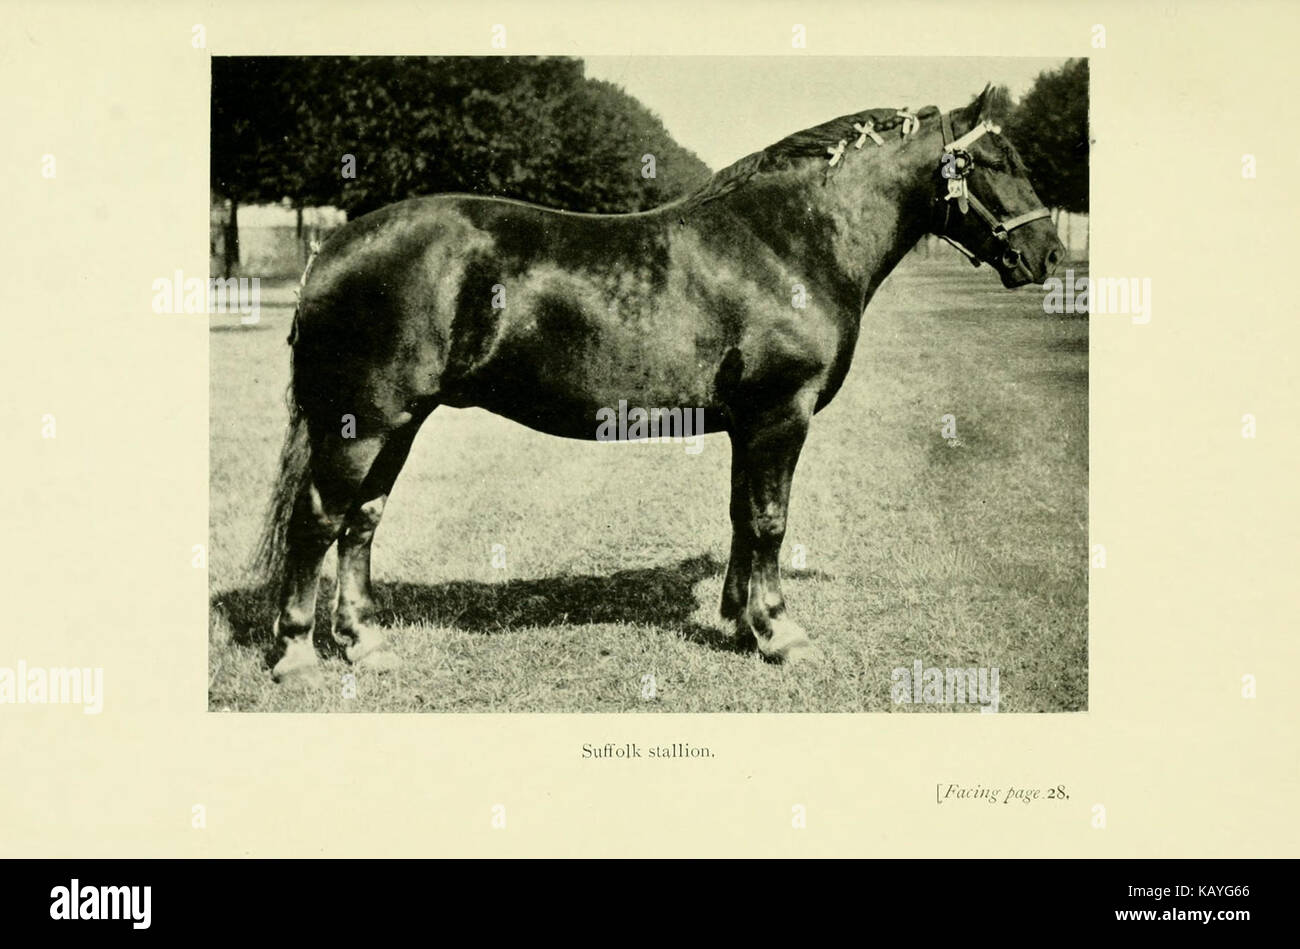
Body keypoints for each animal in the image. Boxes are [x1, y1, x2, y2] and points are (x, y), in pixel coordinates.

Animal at [252, 84, 1066, 683]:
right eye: (993, 162)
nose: (1049, 253)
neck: (787, 242)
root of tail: (332, 246)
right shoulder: (782, 414)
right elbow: (771, 520)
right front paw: (782, 633)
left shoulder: (749, 423)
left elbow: (742, 517)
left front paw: (739, 621)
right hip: (363, 420)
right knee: (320, 520)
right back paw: (295, 655)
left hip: (399, 422)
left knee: (362, 522)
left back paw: (365, 643)